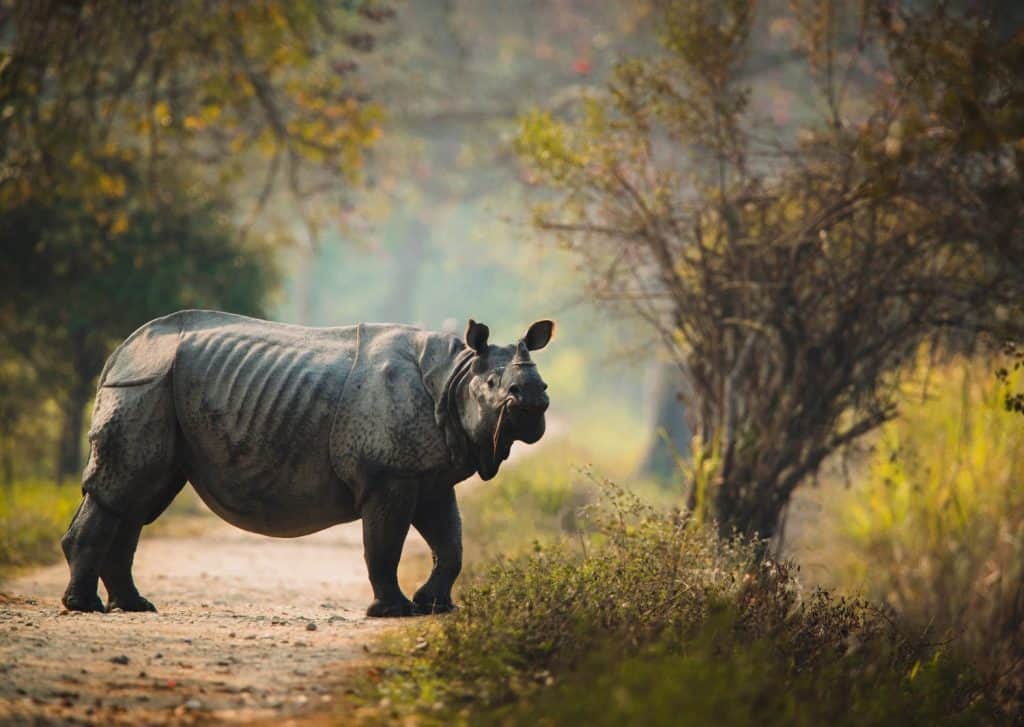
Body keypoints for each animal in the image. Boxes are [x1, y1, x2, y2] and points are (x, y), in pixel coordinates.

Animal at [60, 310, 553, 617]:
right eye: (492, 385)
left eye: (543, 384)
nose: (531, 400)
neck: (456, 374)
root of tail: (119, 353)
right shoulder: (388, 473)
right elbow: (384, 544)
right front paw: (392, 612)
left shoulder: (428, 474)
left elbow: (450, 544)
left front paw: (433, 606)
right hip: (144, 383)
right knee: (125, 489)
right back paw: (85, 608)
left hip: (158, 385)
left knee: (141, 498)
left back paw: (133, 606)